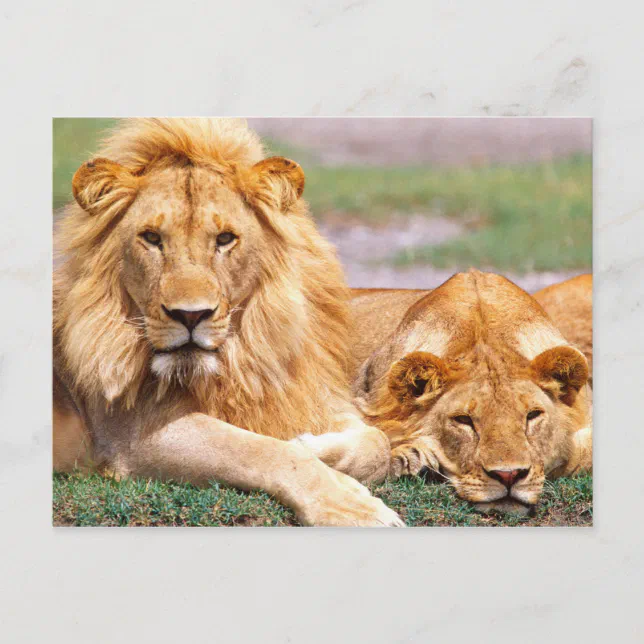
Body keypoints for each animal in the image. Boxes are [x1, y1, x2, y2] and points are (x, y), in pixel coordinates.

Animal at [53, 118, 403, 527]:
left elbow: (377, 442)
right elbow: (265, 452)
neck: (238, 360)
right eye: (151, 238)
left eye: (224, 239)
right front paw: (349, 505)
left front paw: (312, 445)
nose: (190, 315)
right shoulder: (131, 436)